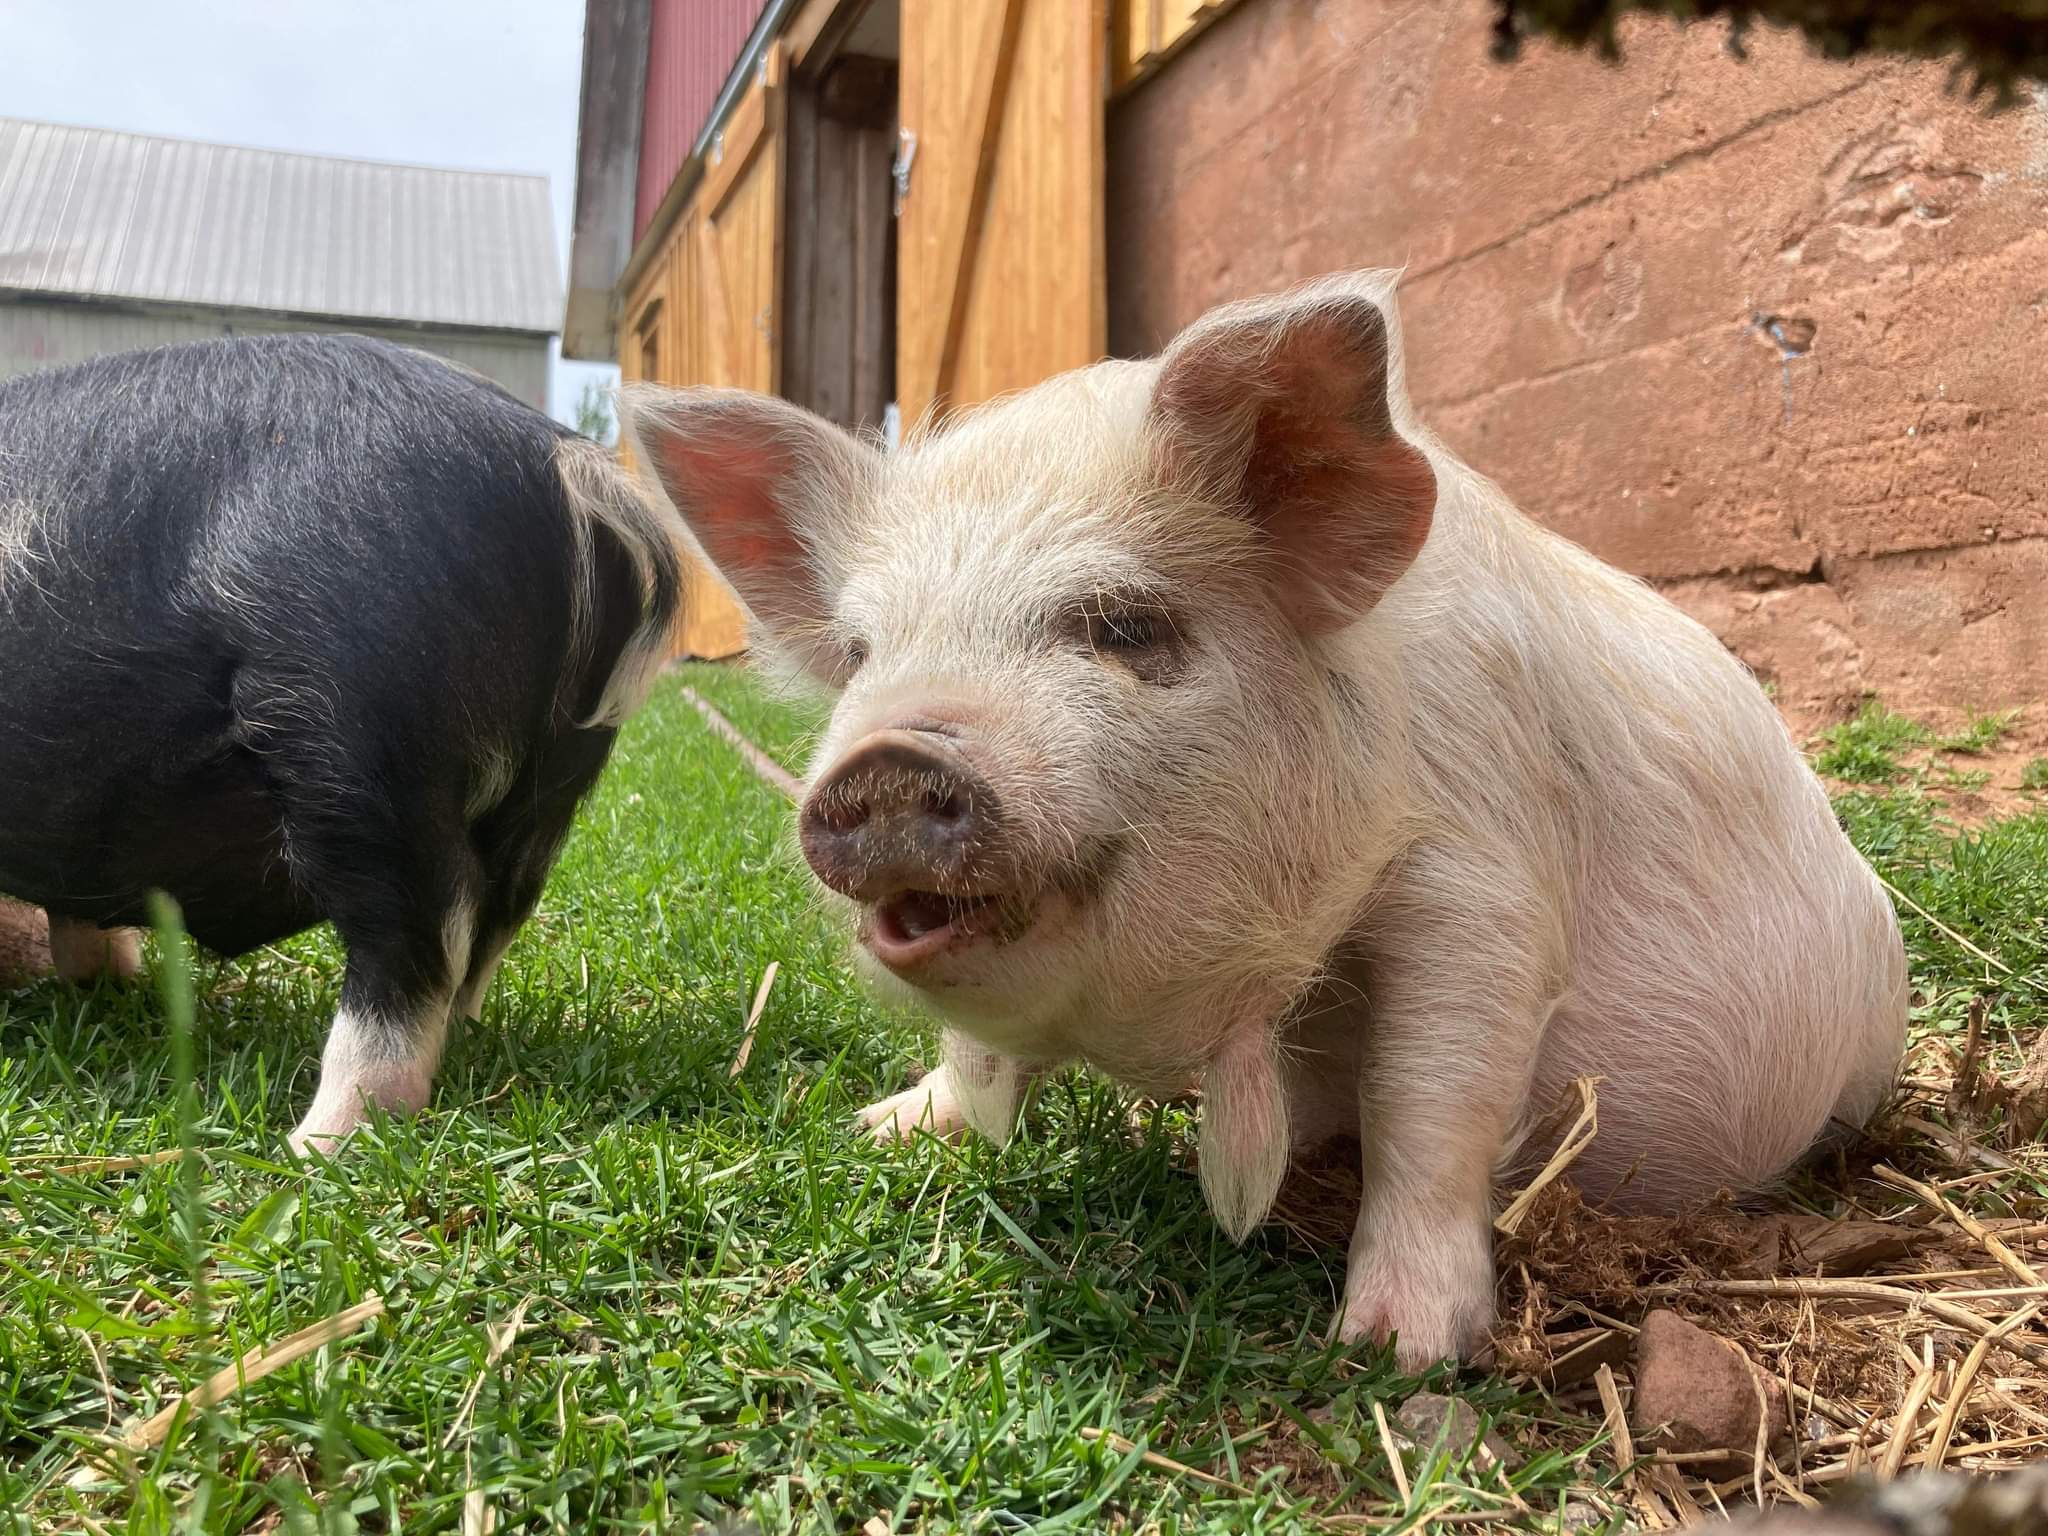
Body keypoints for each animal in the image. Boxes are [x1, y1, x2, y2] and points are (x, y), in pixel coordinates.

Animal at [0, 333, 687, 1153]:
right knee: (497, 912)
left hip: (358, 723)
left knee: (425, 922)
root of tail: (560, 463)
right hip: (553, 775)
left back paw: (315, 1147)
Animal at [619, 271, 1907, 1369]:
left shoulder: (1479, 876)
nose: (887, 762)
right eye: (859, 654)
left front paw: (1395, 1352)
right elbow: (976, 1053)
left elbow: (1429, 1097)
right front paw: (877, 1127)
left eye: (1122, 626)